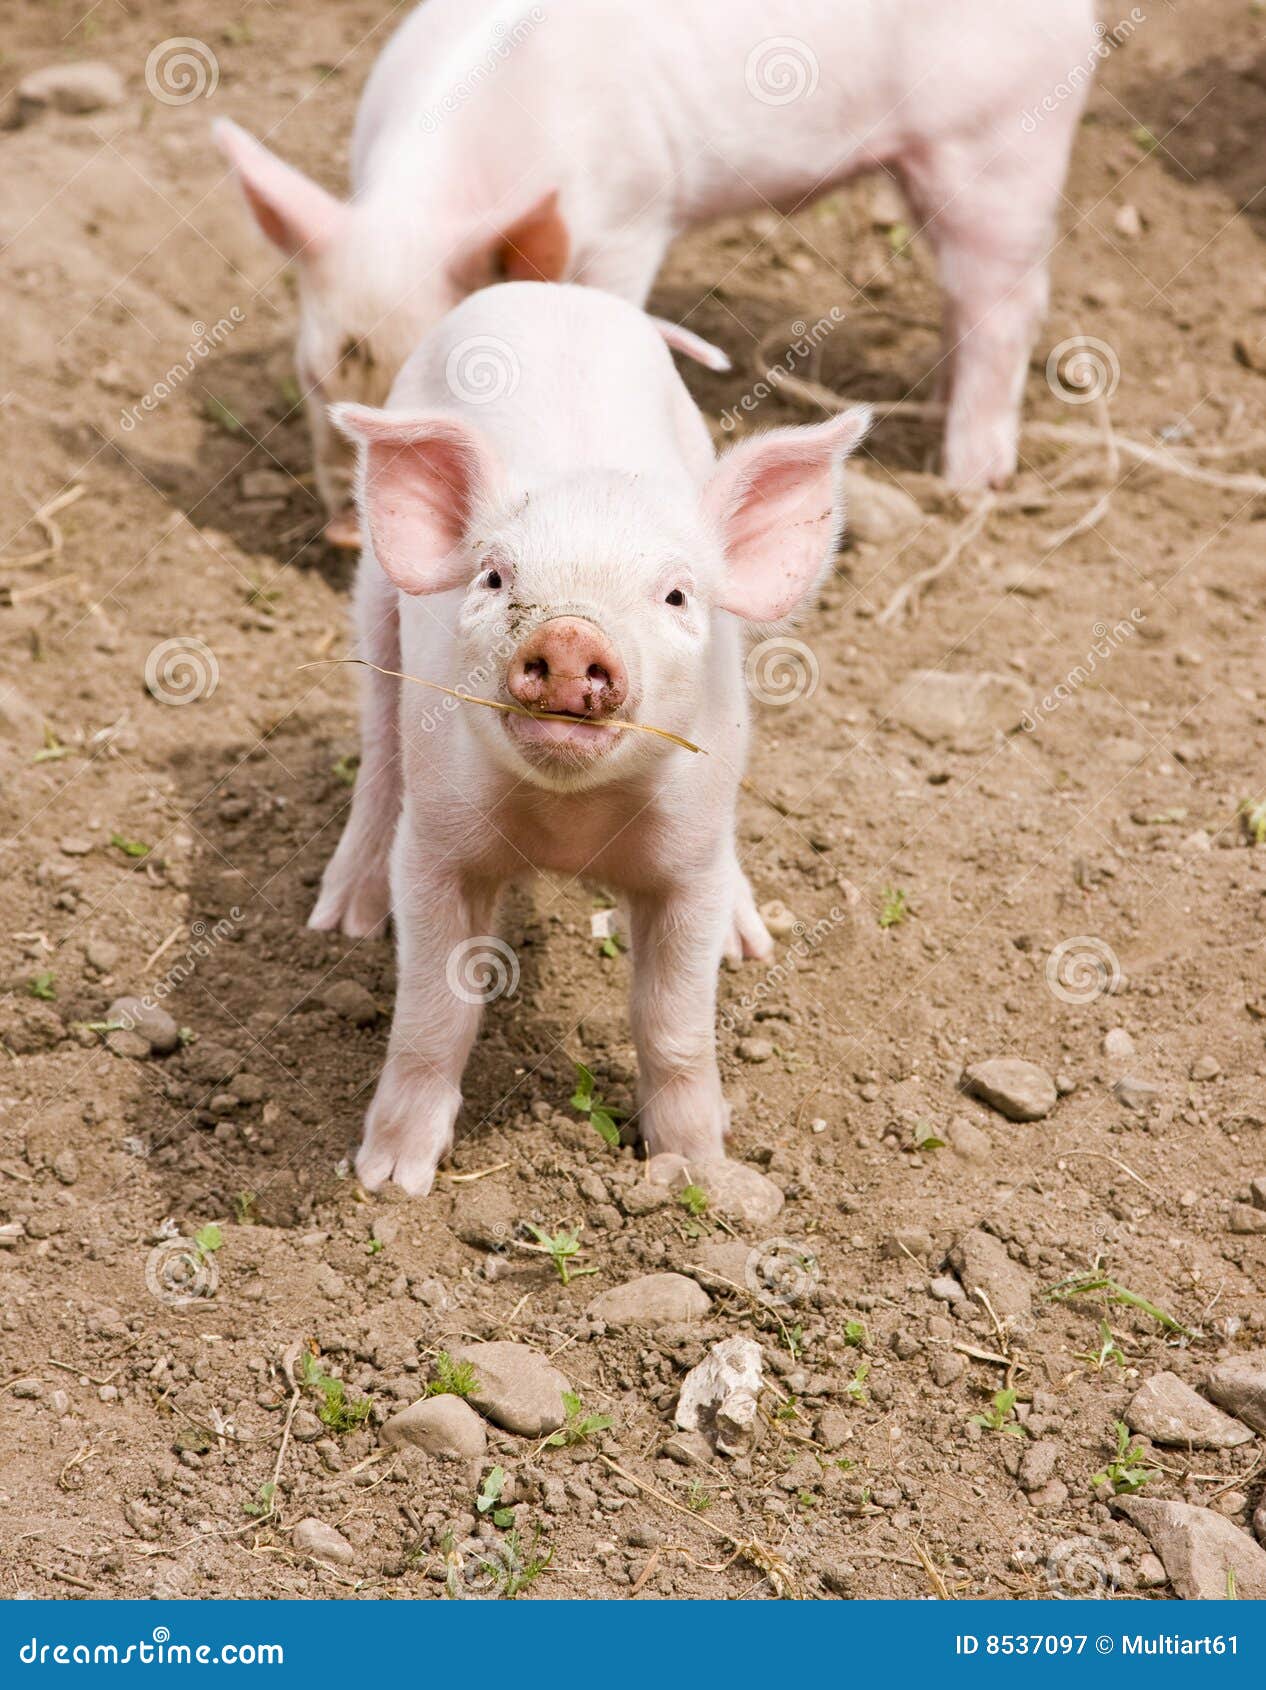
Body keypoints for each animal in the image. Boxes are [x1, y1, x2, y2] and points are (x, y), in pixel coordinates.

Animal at [216, 0, 1098, 526]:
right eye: (316, 379)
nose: (345, 535)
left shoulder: (632, 220)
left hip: (1005, 141)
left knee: (1012, 303)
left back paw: (968, 482)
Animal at [311, 280, 869, 1195]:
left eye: (675, 595)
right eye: (494, 577)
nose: (571, 634)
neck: (568, 832)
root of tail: (553, 288)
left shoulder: (687, 864)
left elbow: (673, 1023)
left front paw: (697, 1170)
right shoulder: (435, 846)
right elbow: (433, 1012)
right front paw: (388, 1180)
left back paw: (747, 944)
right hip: (374, 599)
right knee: (381, 743)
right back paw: (346, 920)